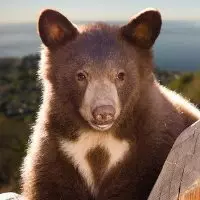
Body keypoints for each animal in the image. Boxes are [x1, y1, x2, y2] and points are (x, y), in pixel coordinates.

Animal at [21, 8, 199, 200]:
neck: (99, 138)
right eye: (81, 75)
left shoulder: (154, 145)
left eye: (121, 75)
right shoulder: (55, 150)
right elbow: (49, 184)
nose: (104, 112)